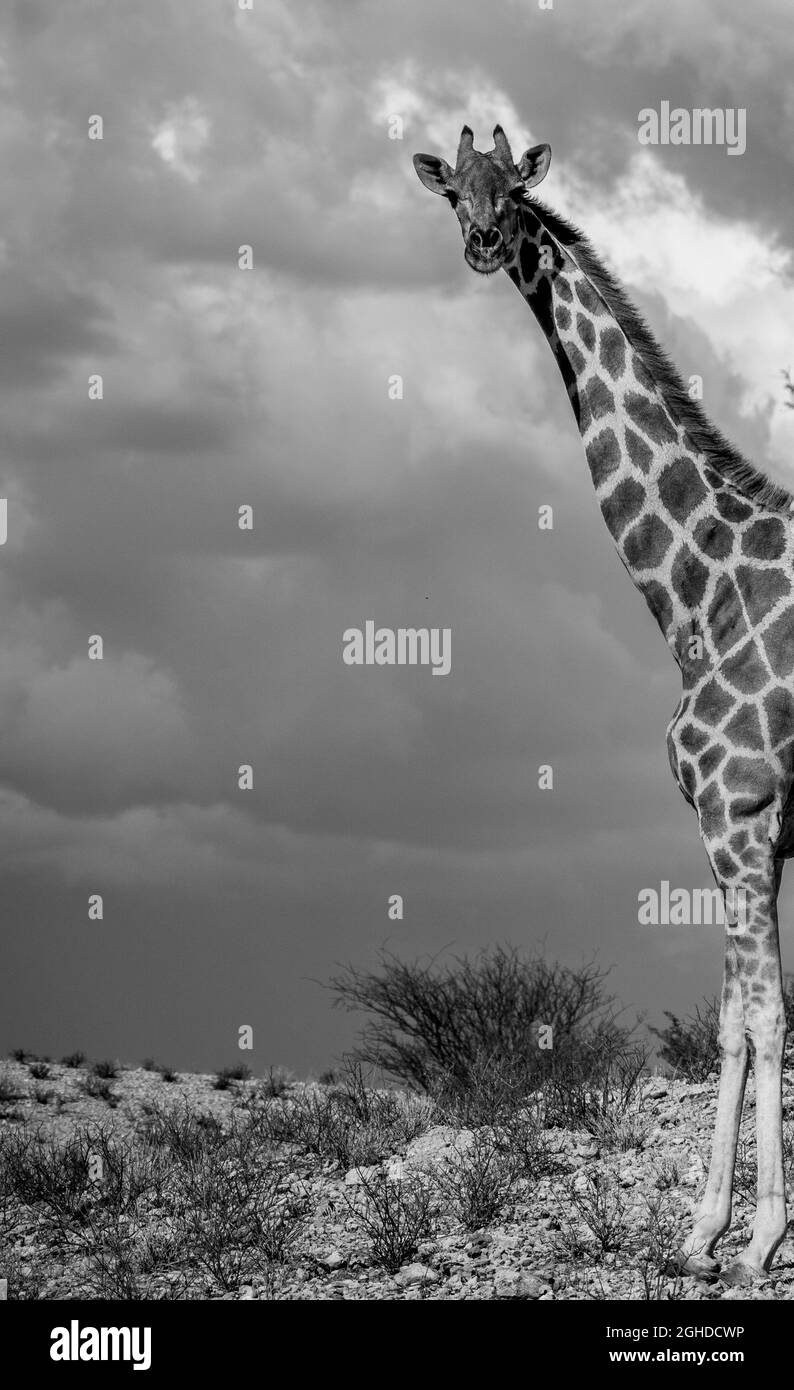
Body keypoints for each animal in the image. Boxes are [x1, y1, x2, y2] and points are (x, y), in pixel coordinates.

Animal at [413, 125, 794, 1284]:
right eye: (453, 192)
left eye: (514, 192)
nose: (484, 242)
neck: (697, 589)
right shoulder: (746, 835)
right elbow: (732, 1021)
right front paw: (701, 1231)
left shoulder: (740, 816)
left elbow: (765, 1018)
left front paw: (757, 1241)